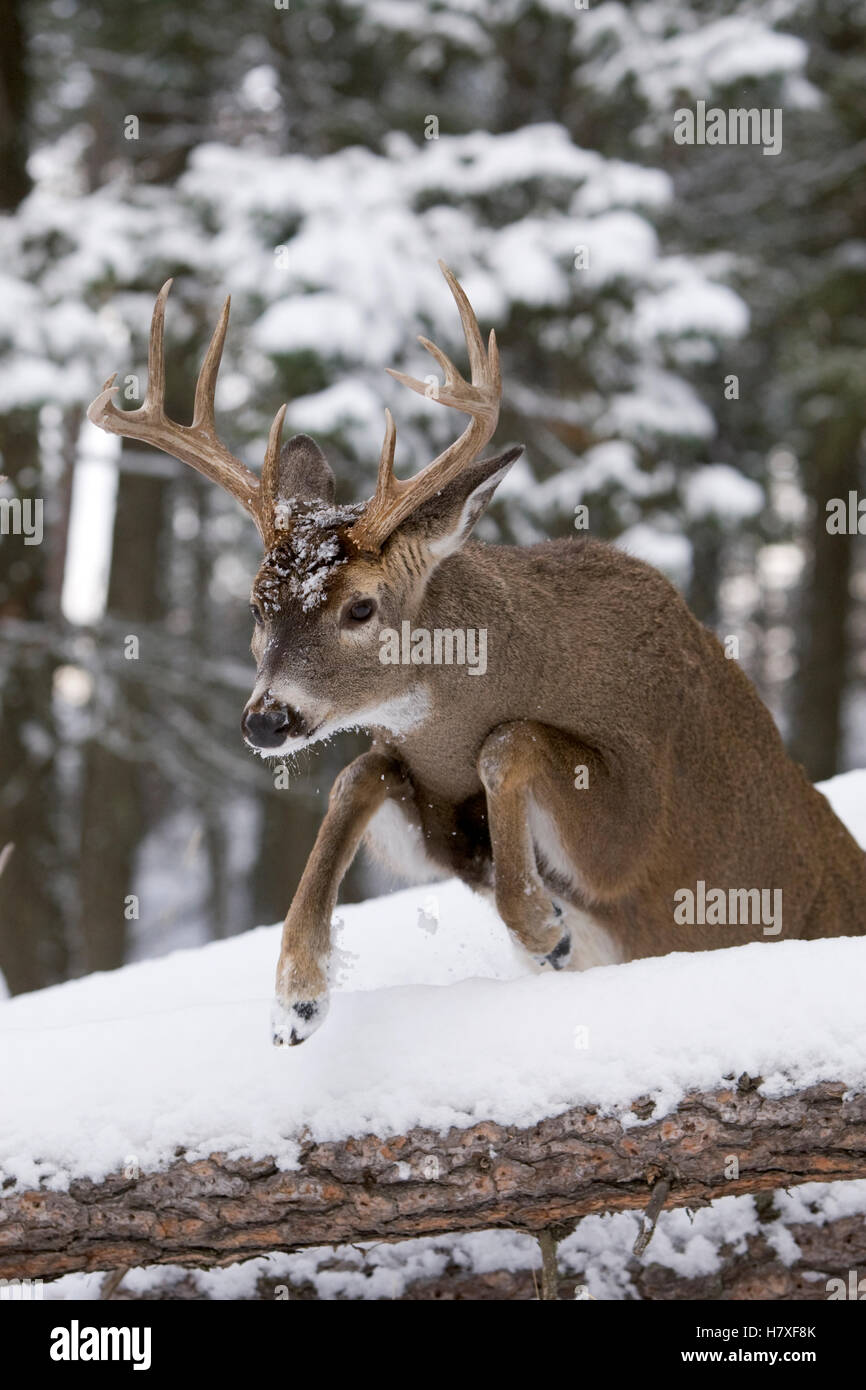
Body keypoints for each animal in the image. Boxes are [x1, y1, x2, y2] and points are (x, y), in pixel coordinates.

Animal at [88, 262, 866, 1046]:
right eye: (255, 606)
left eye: (360, 607)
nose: (265, 720)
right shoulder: (434, 814)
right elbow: (359, 774)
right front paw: (296, 997)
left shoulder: (637, 820)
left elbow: (509, 739)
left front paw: (544, 929)